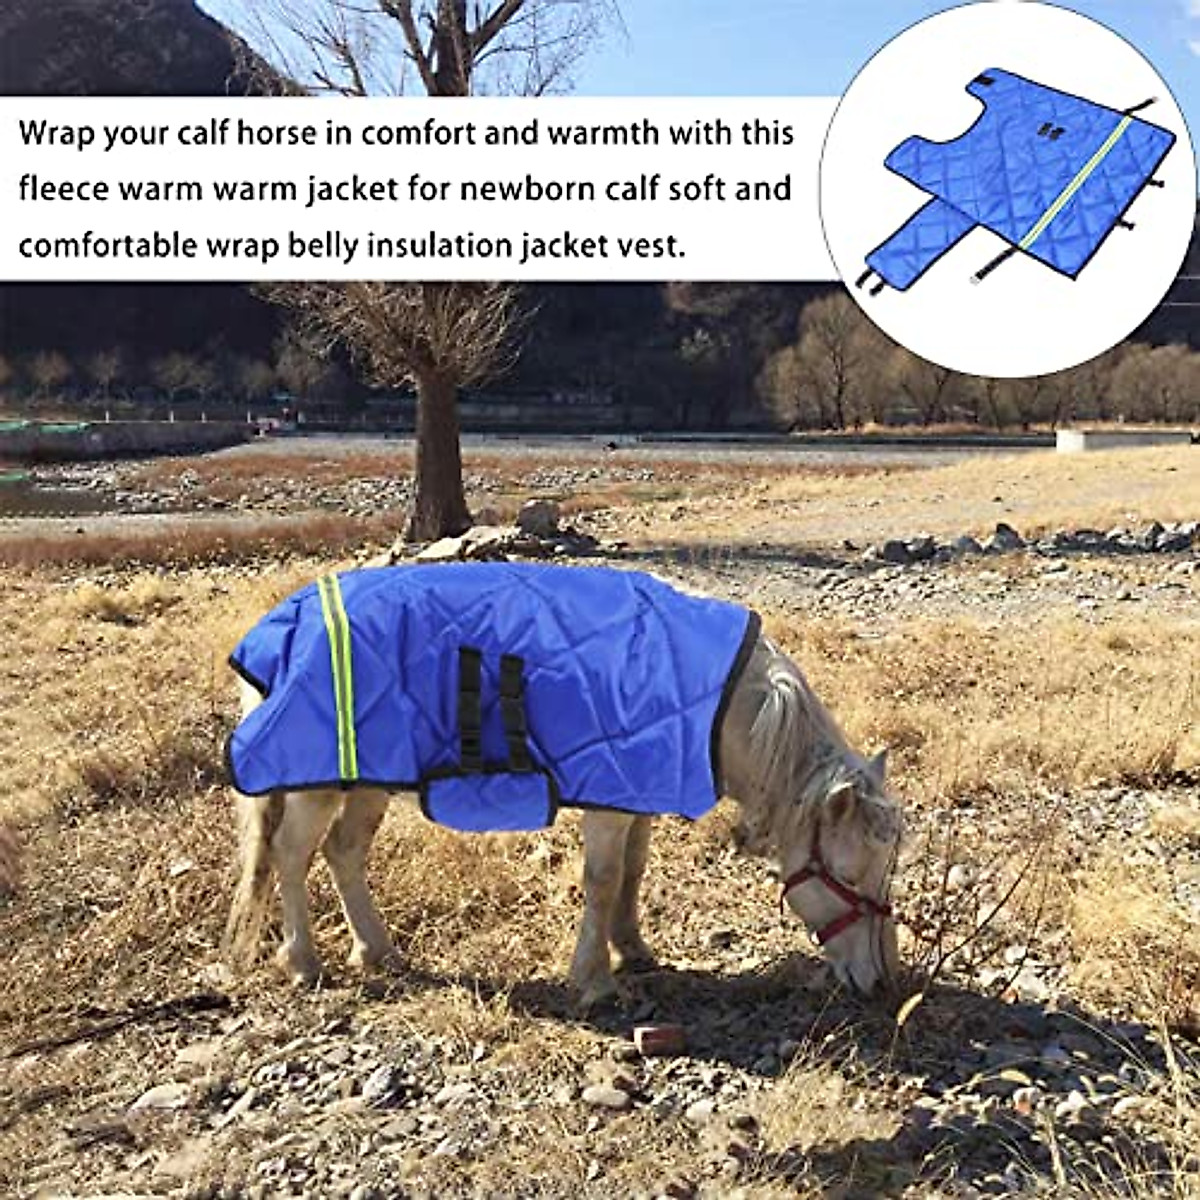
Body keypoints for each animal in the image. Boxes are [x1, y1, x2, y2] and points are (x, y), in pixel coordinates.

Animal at [224, 591, 902, 1007]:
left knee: (343, 851)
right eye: (852, 875)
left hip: (370, 780)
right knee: (290, 854)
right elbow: (601, 878)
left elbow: (632, 871)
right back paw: (304, 961)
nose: (881, 982)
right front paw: (594, 979)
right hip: (315, 782)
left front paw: (632, 949)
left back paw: (377, 951)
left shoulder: (637, 795)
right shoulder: (607, 796)